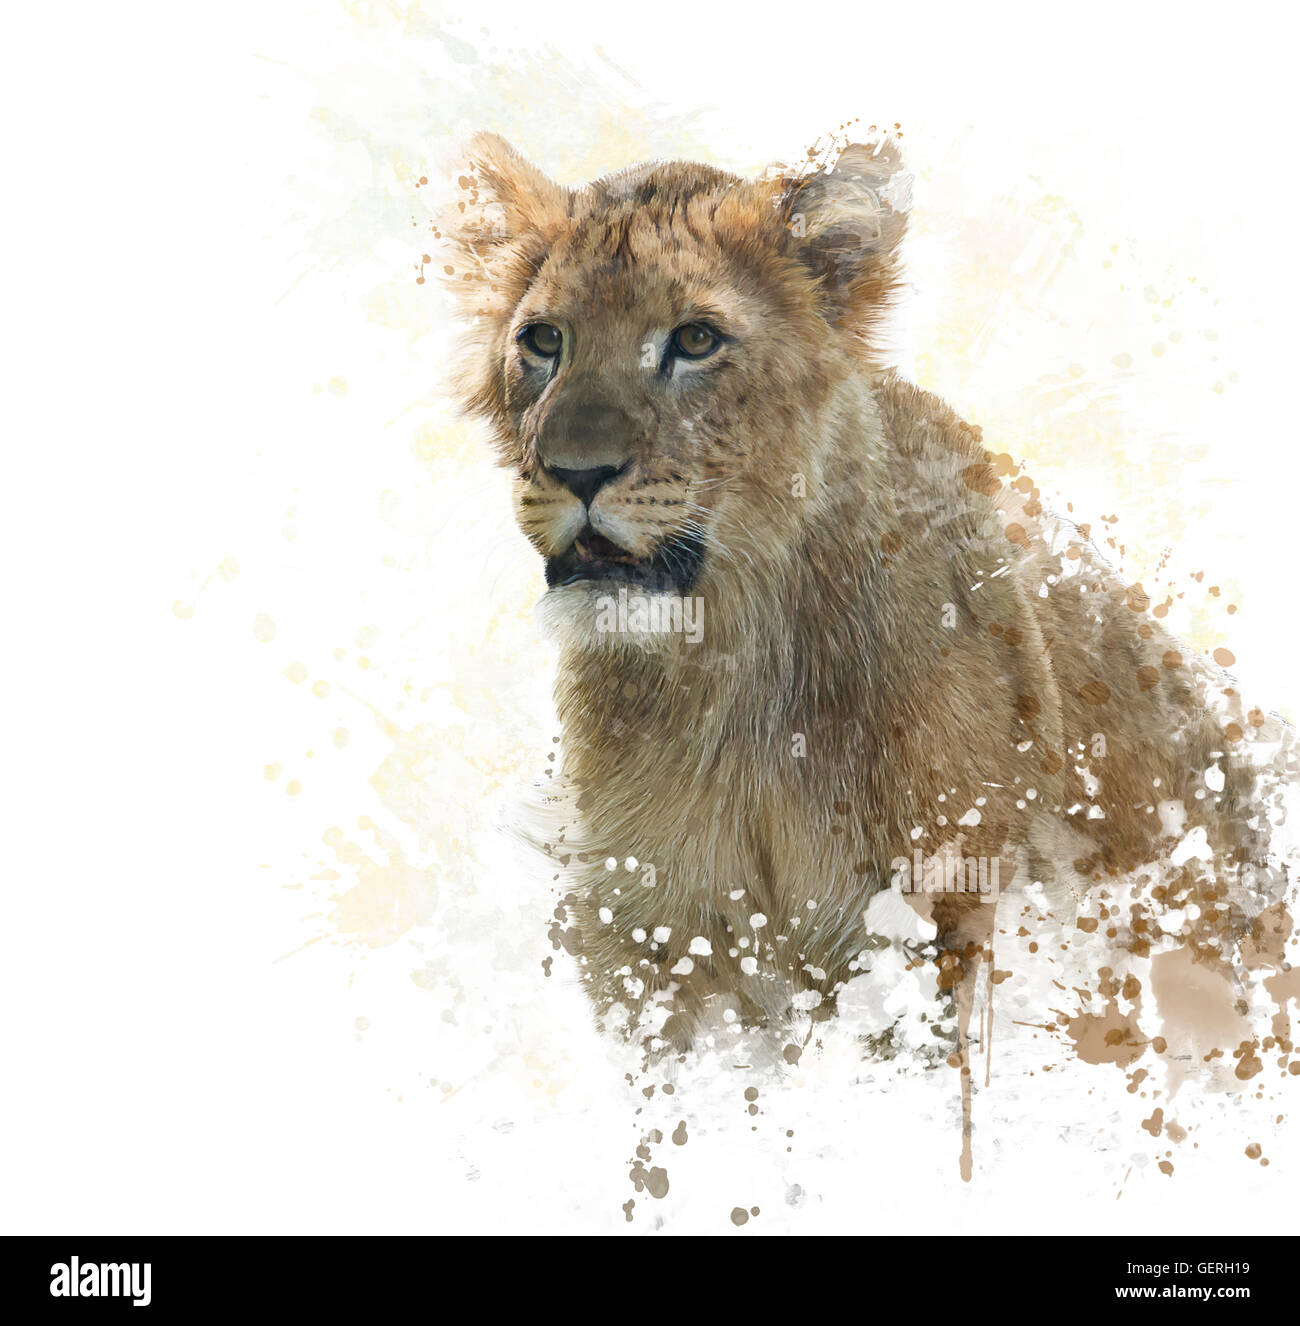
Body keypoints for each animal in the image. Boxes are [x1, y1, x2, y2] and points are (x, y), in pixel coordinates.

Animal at [439, 132, 1293, 1077]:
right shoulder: (647, 933)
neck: (730, 673)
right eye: (543, 341)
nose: (576, 473)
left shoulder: (948, 918)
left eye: (695, 339)